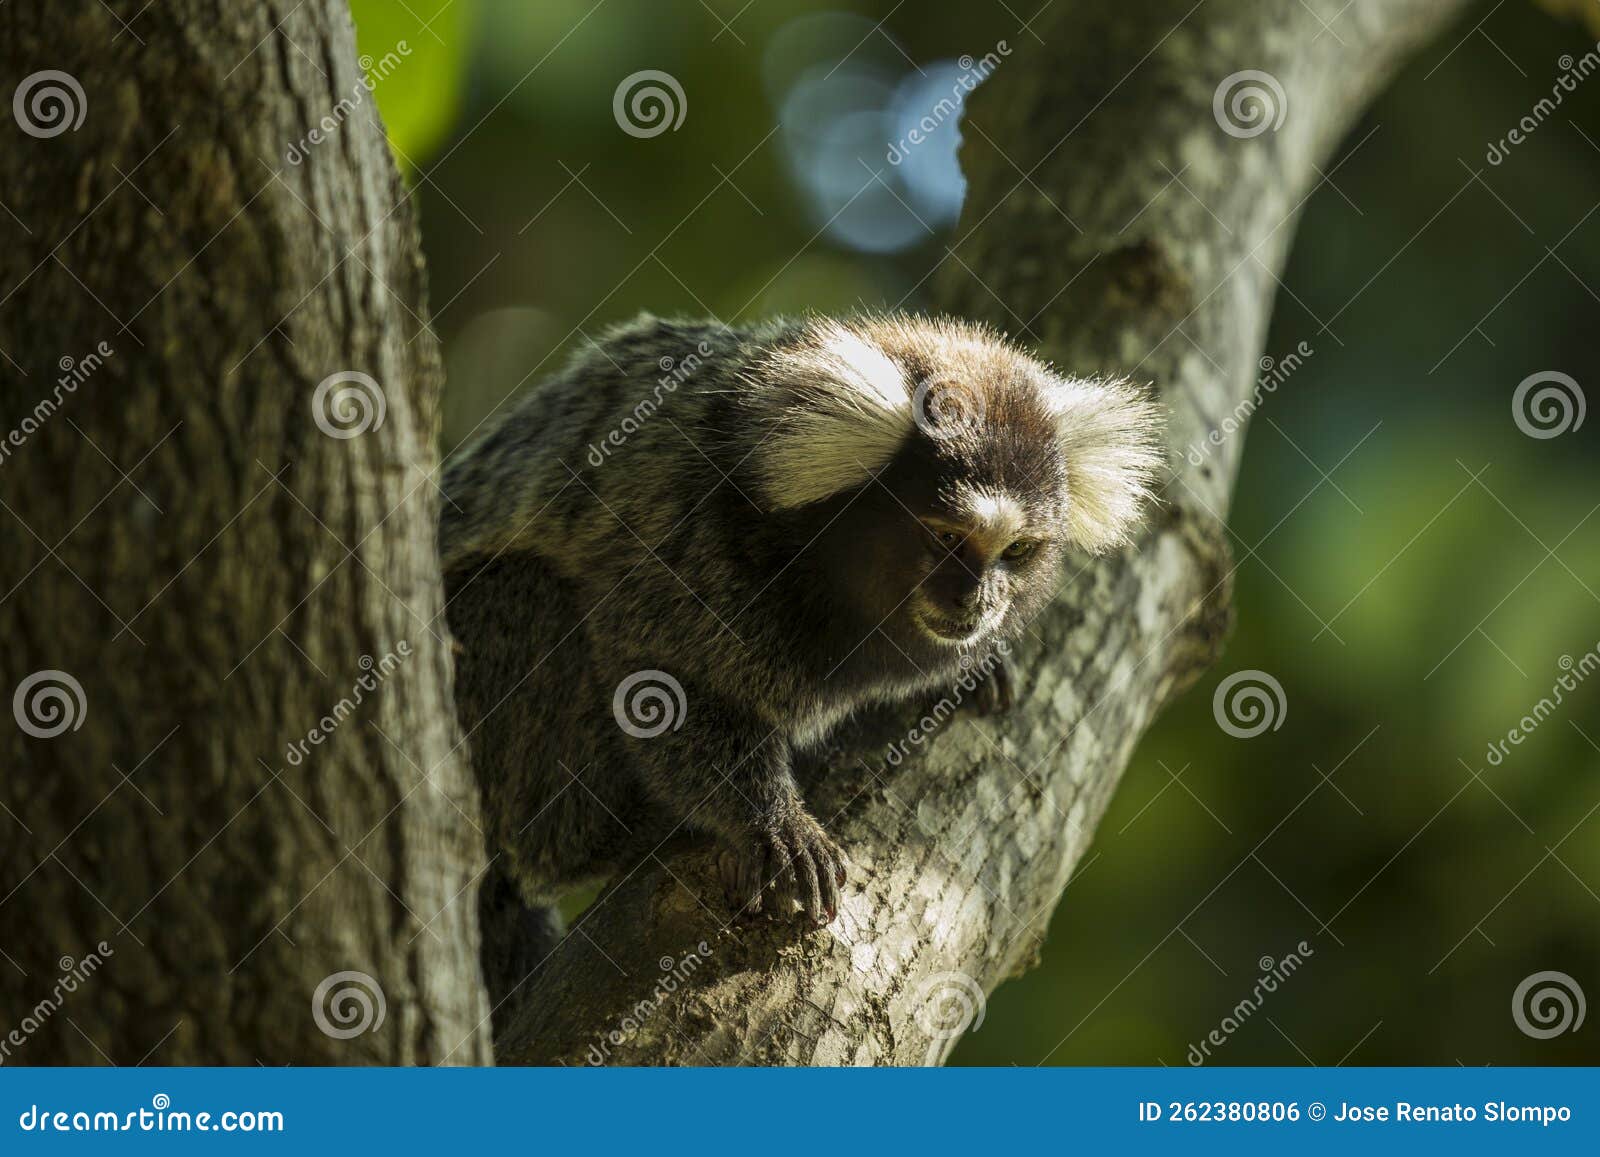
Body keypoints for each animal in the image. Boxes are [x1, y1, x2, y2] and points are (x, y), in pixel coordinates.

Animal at [438, 312, 1164, 1011]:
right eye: (945, 536)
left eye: (1015, 550)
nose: (976, 598)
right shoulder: (692, 541)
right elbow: (657, 680)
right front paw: (771, 820)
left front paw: (973, 668)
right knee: (527, 594)